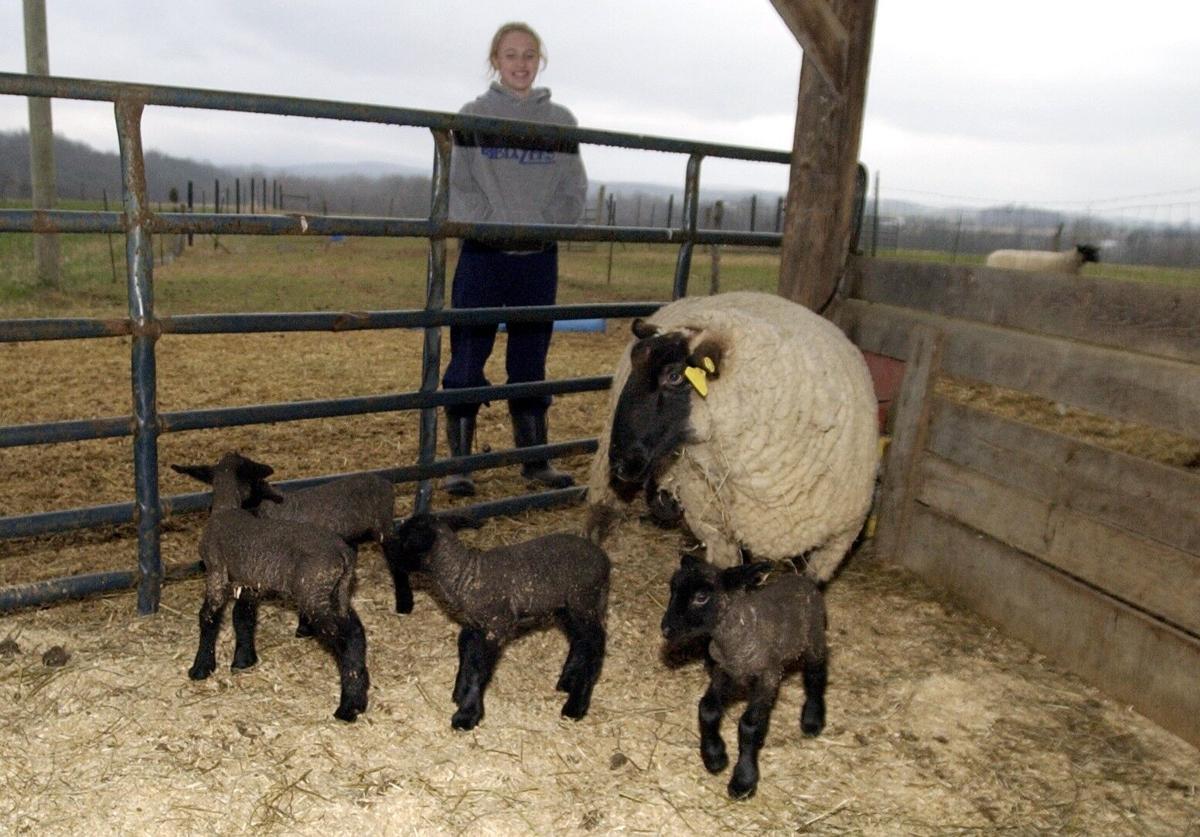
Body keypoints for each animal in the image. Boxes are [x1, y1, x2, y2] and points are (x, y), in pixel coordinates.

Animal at [181, 451, 369, 722]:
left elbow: (208, 617)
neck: (226, 509)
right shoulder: (249, 581)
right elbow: (243, 617)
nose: (277, 493)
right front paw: (244, 660)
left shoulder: (216, 571)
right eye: (259, 478)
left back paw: (348, 707)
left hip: (314, 593)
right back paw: (360, 696)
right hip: (335, 593)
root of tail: (344, 554)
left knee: (344, 641)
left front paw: (201, 667)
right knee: (355, 633)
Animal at [391, 513, 610, 730]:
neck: (465, 576)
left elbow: (479, 669)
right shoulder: (474, 626)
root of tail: (600, 553)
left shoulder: (495, 627)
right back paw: (567, 681)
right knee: (580, 642)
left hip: (584, 602)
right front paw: (460, 694)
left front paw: (467, 715)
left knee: (595, 647)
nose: (391, 560)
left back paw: (575, 706)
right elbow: (466, 658)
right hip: (567, 609)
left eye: (405, 540)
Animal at [661, 554, 827, 800]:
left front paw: (743, 780)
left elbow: (750, 724)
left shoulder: (768, 676)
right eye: (672, 589)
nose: (666, 629)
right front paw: (715, 757)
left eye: (701, 597)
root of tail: (800, 576)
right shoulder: (724, 671)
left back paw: (813, 720)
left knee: (816, 675)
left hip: (814, 638)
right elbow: (708, 709)